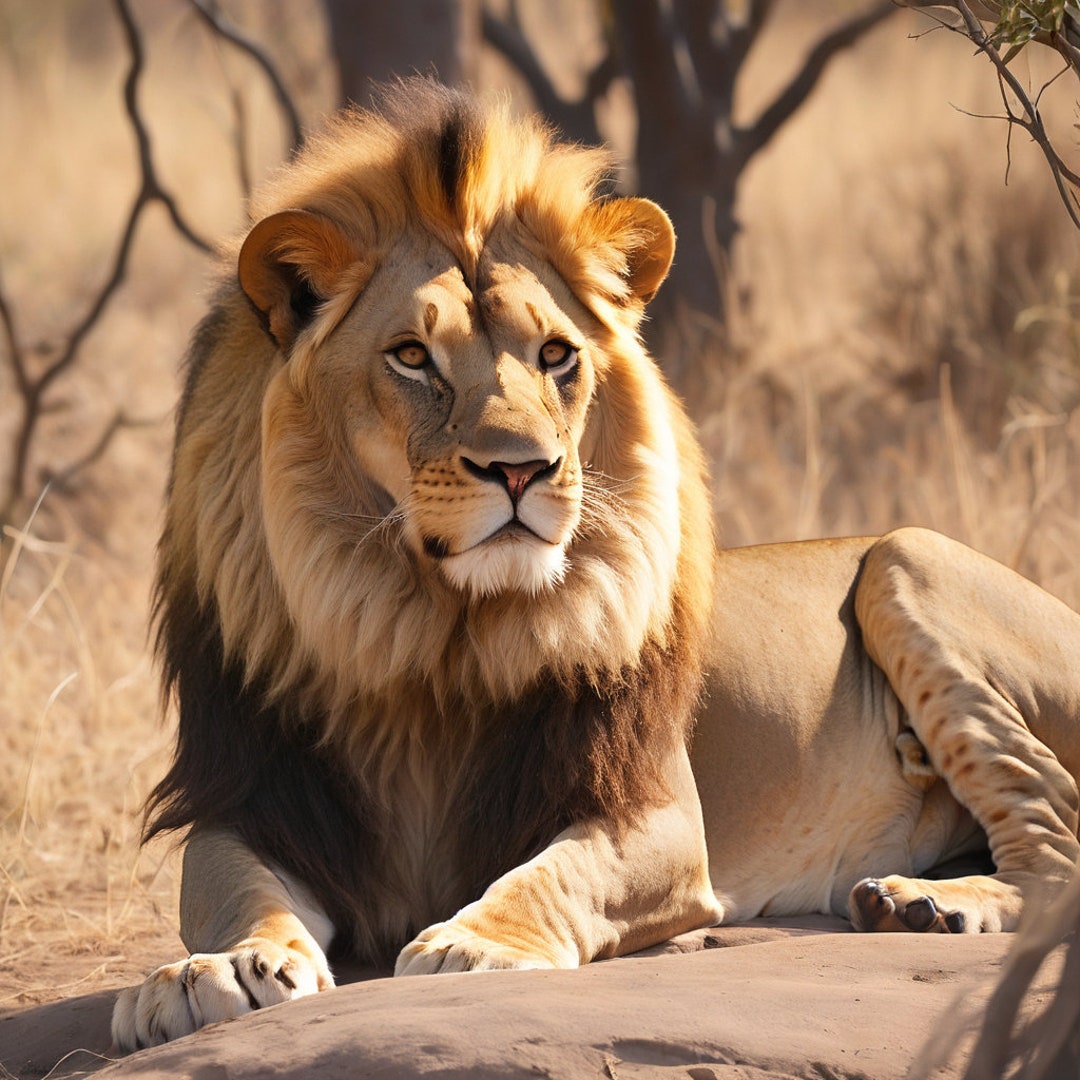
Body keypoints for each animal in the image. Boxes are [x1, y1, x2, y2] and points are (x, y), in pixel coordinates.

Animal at [111, 80, 1080, 1052]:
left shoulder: (656, 812)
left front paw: (475, 945)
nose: (521, 468)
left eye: (556, 355)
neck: (430, 636)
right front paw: (217, 967)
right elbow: (230, 888)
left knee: (1055, 852)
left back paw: (925, 902)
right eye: (412, 357)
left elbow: (552, 873)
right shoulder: (259, 795)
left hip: (904, 555)